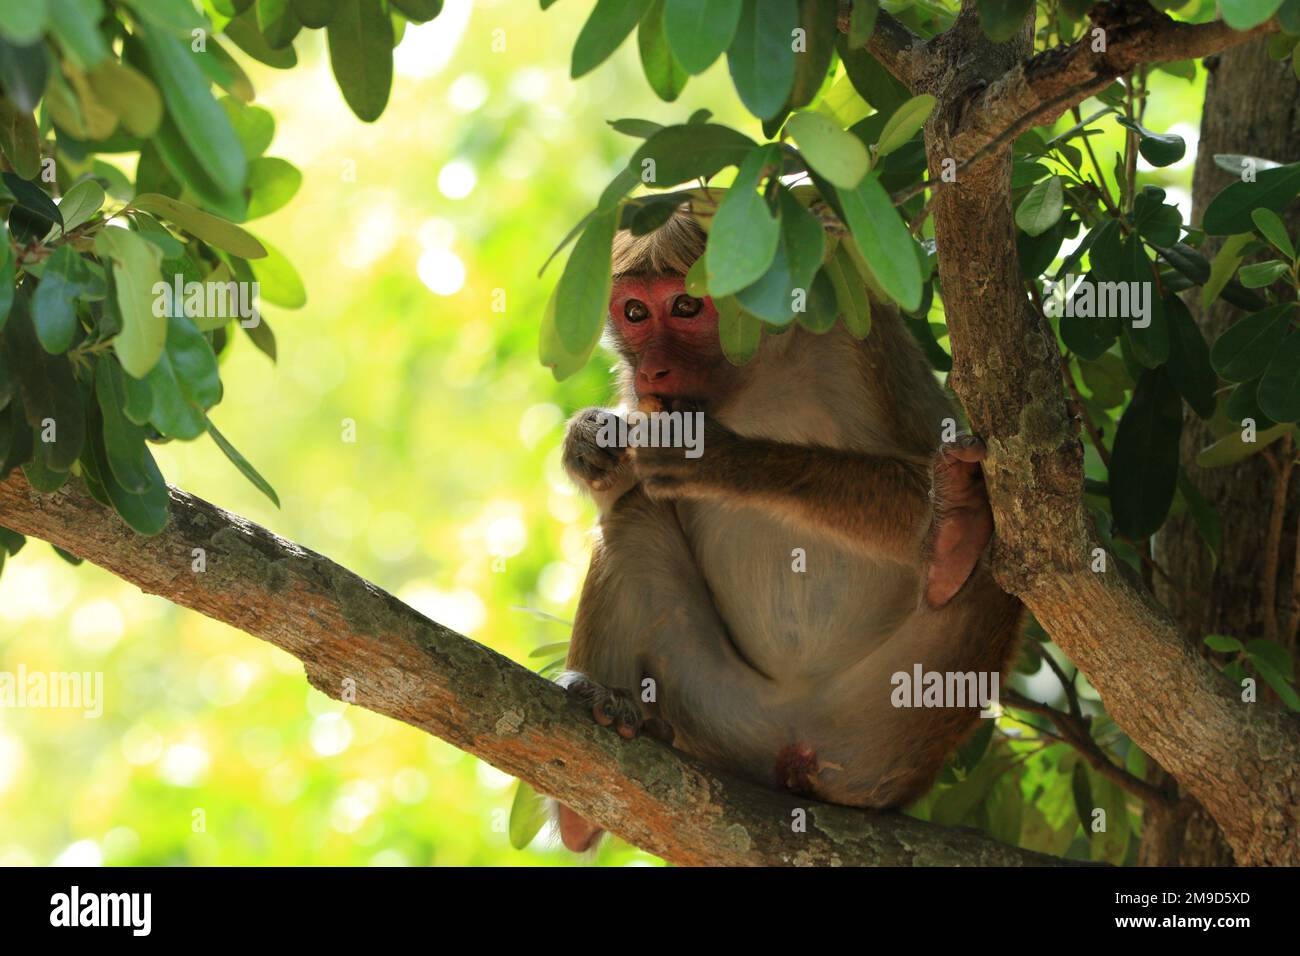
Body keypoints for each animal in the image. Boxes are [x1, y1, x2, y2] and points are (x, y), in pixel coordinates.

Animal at [552, 209, 1023, 853]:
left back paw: (958, 529)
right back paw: (598, 754)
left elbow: (927, 452)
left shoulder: (861, 331)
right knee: (634, 518)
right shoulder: (640, 393)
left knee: (1004, 552)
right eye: (635, 313)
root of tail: (797, 742)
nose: (652, 368)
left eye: (686, 307)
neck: (754, 376)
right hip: (716, 711)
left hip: (904, 711)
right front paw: (588, 441)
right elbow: (621, 492)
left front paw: (716, 458)